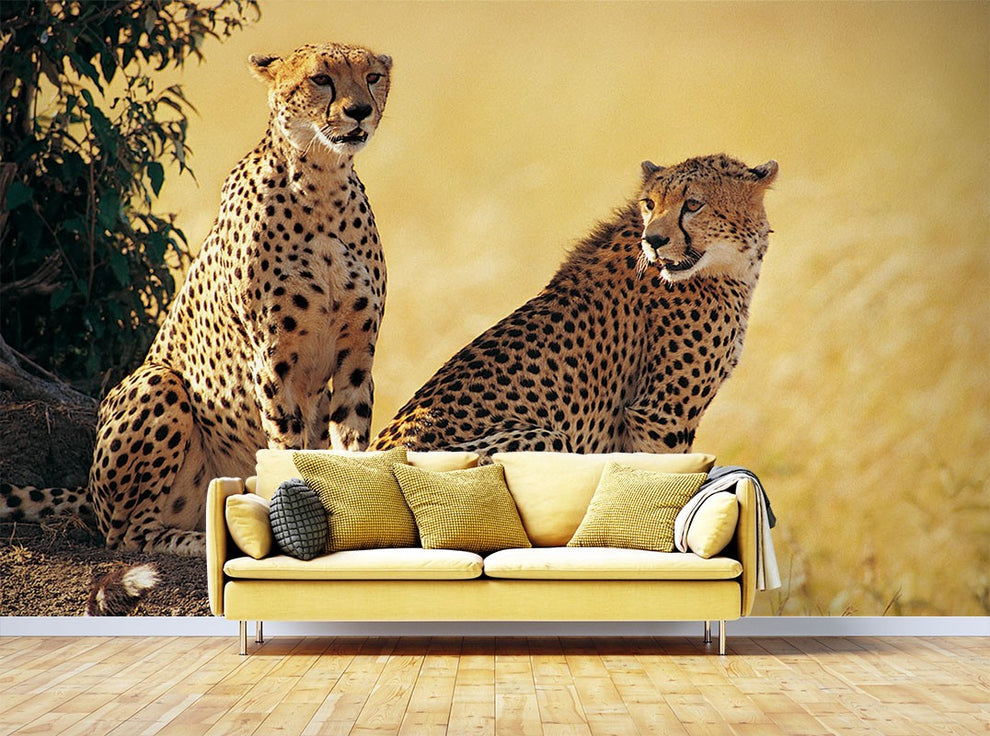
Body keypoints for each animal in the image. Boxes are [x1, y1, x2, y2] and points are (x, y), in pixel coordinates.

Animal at [1, 42, 393, 555]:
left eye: (372, 77)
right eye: (320, 79)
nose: (359, 111)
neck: (322, 182)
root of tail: (88, 492)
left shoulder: (356, 355)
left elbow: (351, 441)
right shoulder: (273, 359)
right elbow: (288, 447)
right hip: (158, 382)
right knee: (127, 536)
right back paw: (196, 539)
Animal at [372, 154, 777, 458]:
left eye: (693, 204)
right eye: (650, 204)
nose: (654, 240)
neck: (726, 265)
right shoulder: (660, 415)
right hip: (549, 438)